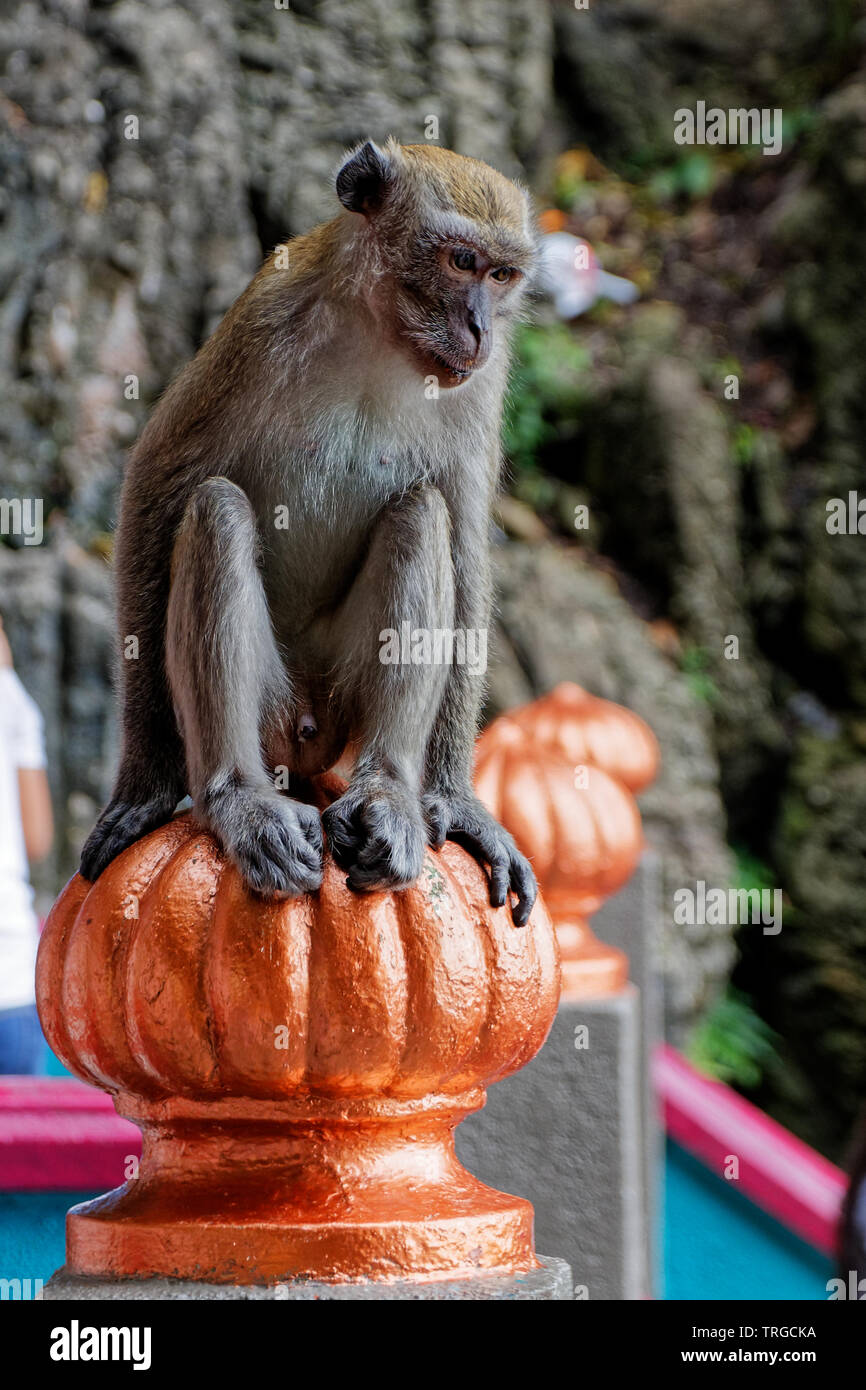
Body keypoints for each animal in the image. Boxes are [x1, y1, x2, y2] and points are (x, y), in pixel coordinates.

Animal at [80, 139, 538, 926]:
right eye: (461, 261)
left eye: (502, 275)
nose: (481, 329)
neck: (380, 334)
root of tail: (306, 743)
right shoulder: (263, 319)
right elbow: (157, 487)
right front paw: (145, 786)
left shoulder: (482, 381)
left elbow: (464, 544)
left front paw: (459, 804)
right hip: (274, 709)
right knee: (216, 508)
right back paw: (241, 801)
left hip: (337, 699)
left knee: (422, 511)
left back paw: (387, 792)